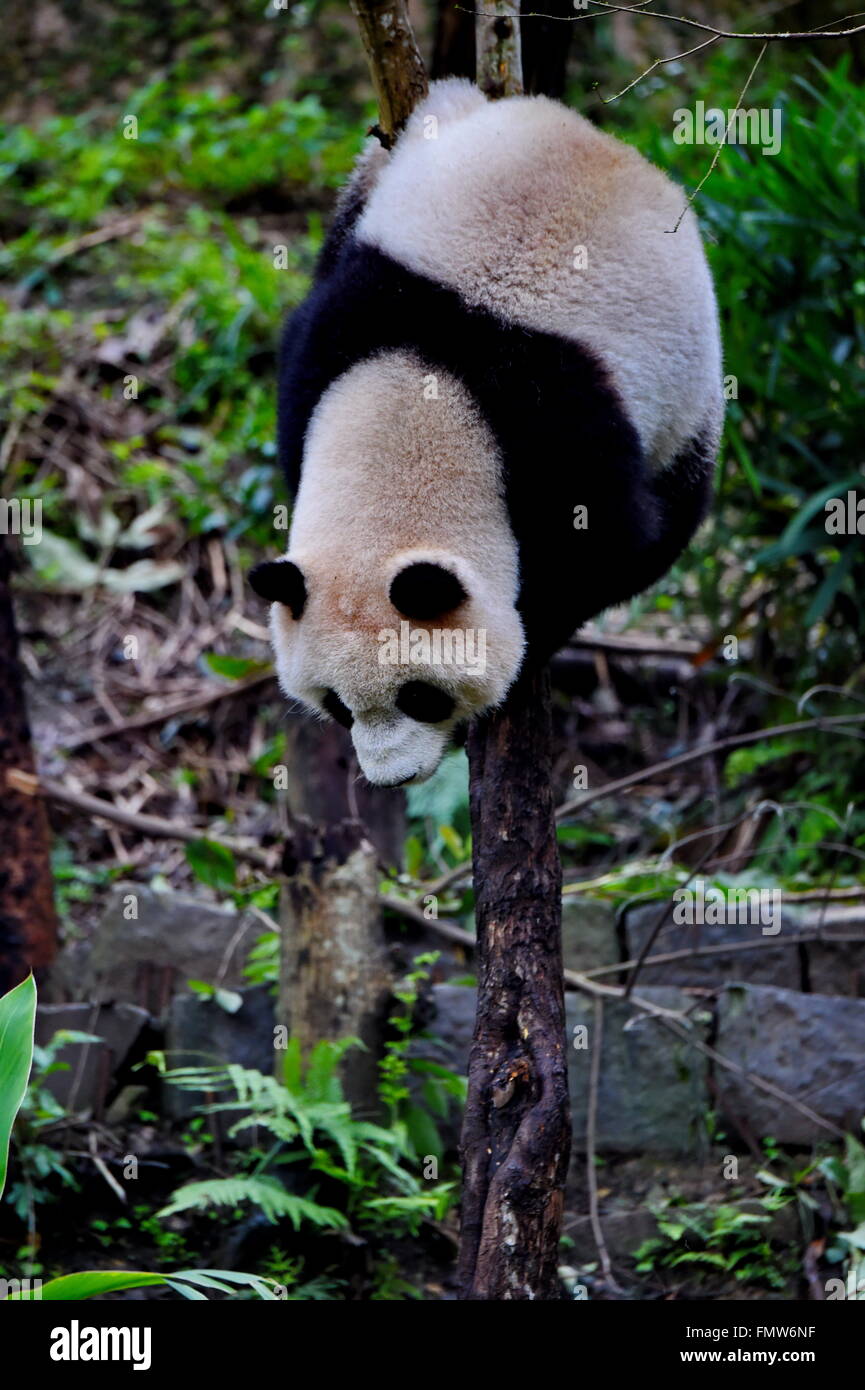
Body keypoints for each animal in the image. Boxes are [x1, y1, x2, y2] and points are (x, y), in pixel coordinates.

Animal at [250, 78, 723, 787]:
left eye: (420, 695)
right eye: (336, 704)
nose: (393, 778)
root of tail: (595, 135)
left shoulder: (569, 442)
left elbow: (617, 552)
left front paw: (529, 649)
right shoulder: (334, 340)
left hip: (689, 381)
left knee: (683, 498)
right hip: (398, 160)